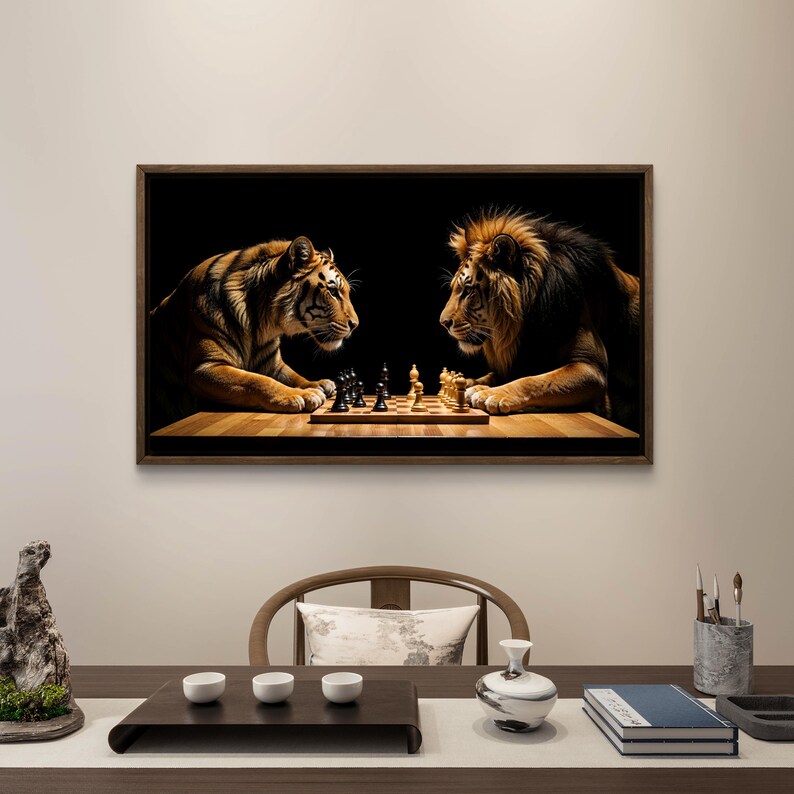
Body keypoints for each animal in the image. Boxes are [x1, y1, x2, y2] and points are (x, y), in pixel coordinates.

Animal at [150, 236, 358, 427]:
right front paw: (301, 395)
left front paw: (318, 384)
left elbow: (294, 376)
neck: (263, 324)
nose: (355, 324)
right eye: (333, 292)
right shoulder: (204, 367)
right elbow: (256, 380)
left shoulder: (273, 365)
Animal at [439, 209, 640, 429]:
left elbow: (534, 380)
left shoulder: (591, 368)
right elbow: (490, 376)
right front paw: (471, 384)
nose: (443, 323)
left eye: (467, 291)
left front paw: (491, 394)